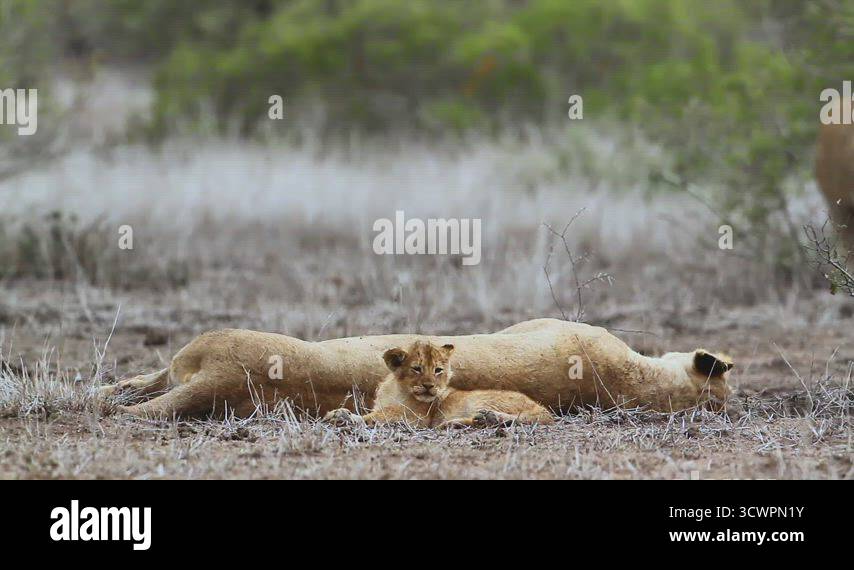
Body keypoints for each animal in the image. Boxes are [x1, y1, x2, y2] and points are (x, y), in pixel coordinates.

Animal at [323, 340, 554, 428]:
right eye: (417, 368)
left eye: (438, 370)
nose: (429, 386)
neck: (398, 390)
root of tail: (543, 408)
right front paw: (338, 413)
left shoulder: (416, 417)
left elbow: (377, 416)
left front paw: (343, 416)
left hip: (480, 399)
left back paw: (484, 418)